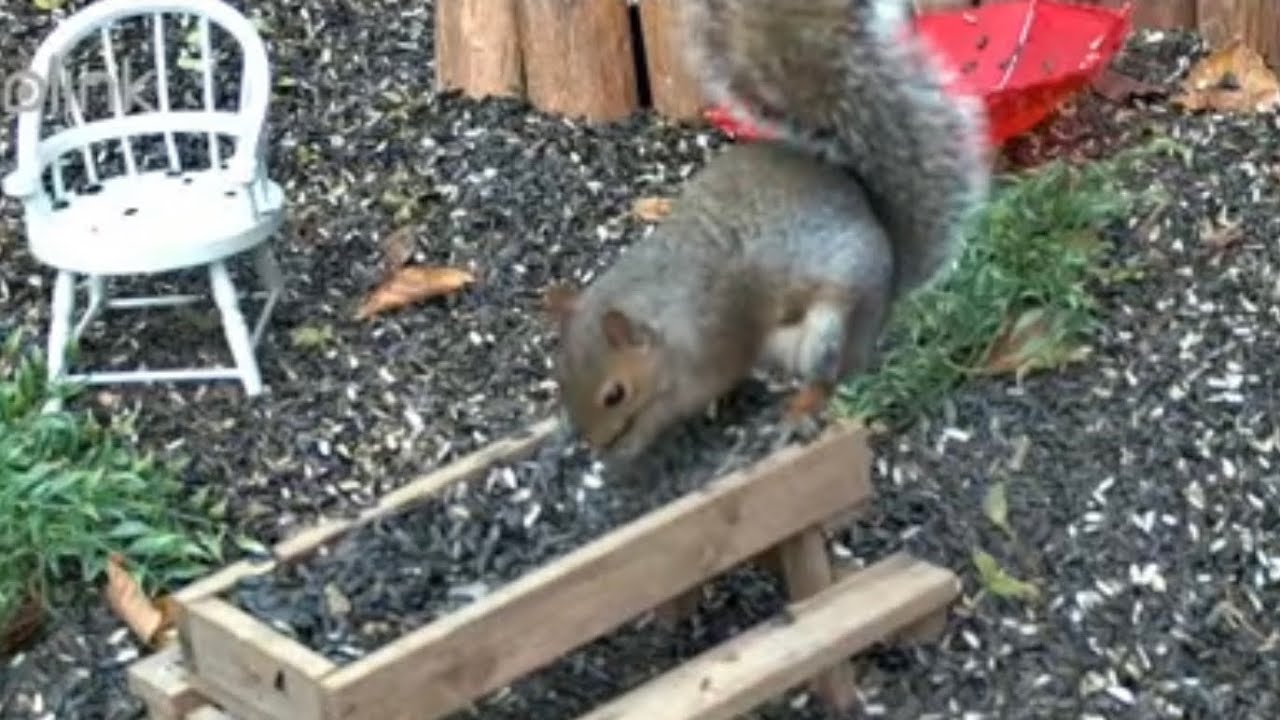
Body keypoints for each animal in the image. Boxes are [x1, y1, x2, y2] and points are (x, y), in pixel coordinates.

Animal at [542, 0, 991, 462]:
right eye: (560, 378)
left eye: (614, 394)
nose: (595, 445)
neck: (663, 311)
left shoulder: (711, 344)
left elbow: (686, 396)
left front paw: (633, 445)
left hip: (828, 331)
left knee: (826, 379)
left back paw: (799, 410)